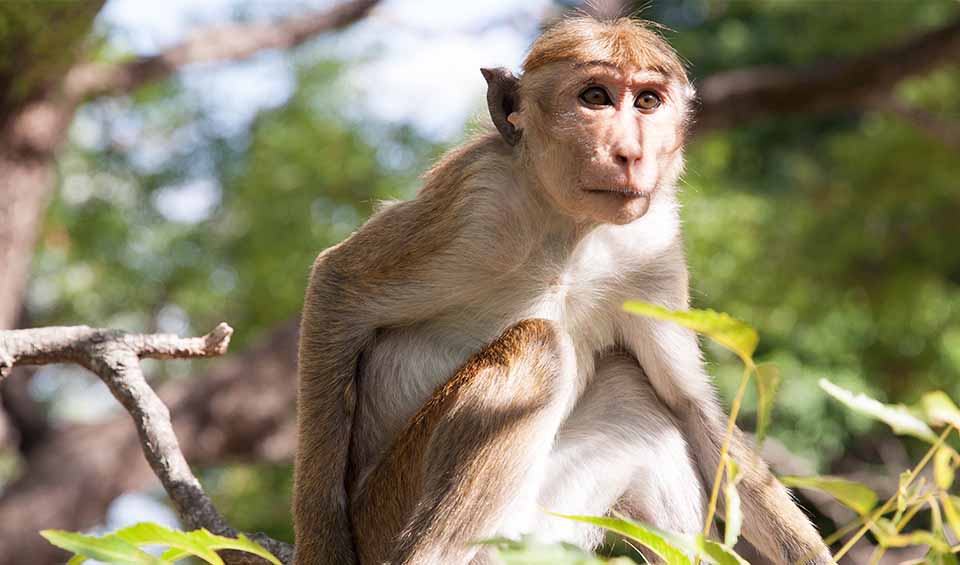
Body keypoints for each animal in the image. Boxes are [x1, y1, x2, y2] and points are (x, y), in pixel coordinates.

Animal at [293, 16, 833, 565]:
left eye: (648, 101)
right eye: (595, 96)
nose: (631, 153)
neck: (571, 229)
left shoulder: (653, 245)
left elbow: (686, 403)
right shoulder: (474, 197)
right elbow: (337, 288)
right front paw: (322, 546)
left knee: (633, 394)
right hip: (390, 509)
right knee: (540, 346)